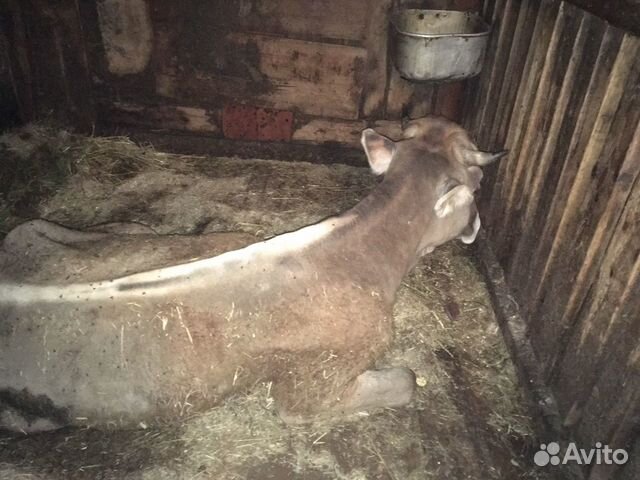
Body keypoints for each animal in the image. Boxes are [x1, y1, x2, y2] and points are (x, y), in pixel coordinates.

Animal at [0, 116, 505, 432]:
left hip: (54, 230)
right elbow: (404, 382)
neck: (368, 253)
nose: (478, 228)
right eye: (479, 186)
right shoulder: (314, 388)